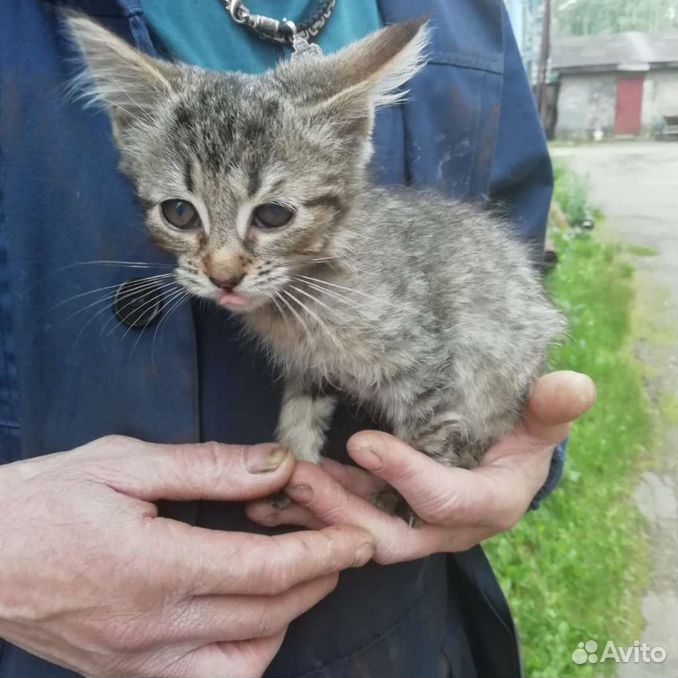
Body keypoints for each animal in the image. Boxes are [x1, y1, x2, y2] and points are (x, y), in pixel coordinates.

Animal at [67, 15, 568, 488]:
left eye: (272, 216)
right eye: (179, 213)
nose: (223, 276)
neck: (310, 286)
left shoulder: (429, 363)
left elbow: (428, 448)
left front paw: (406, 507)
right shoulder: (310, 368)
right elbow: (300, 413)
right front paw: (292, 474)